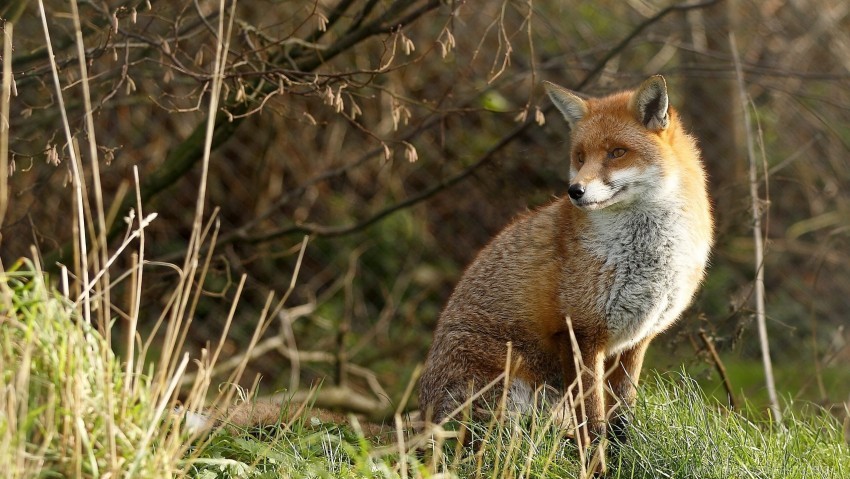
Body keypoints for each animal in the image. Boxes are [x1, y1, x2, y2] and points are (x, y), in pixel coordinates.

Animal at [418, 75, 713, 461]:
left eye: (617, 152)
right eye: (580, 156)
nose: (575, 190)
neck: (645, 255)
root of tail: (418, 428)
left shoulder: (637, 340)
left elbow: (622, 417)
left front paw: (620, 460)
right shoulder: (581, 334)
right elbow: (594, 420)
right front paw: (596, 465)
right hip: (510, 390)